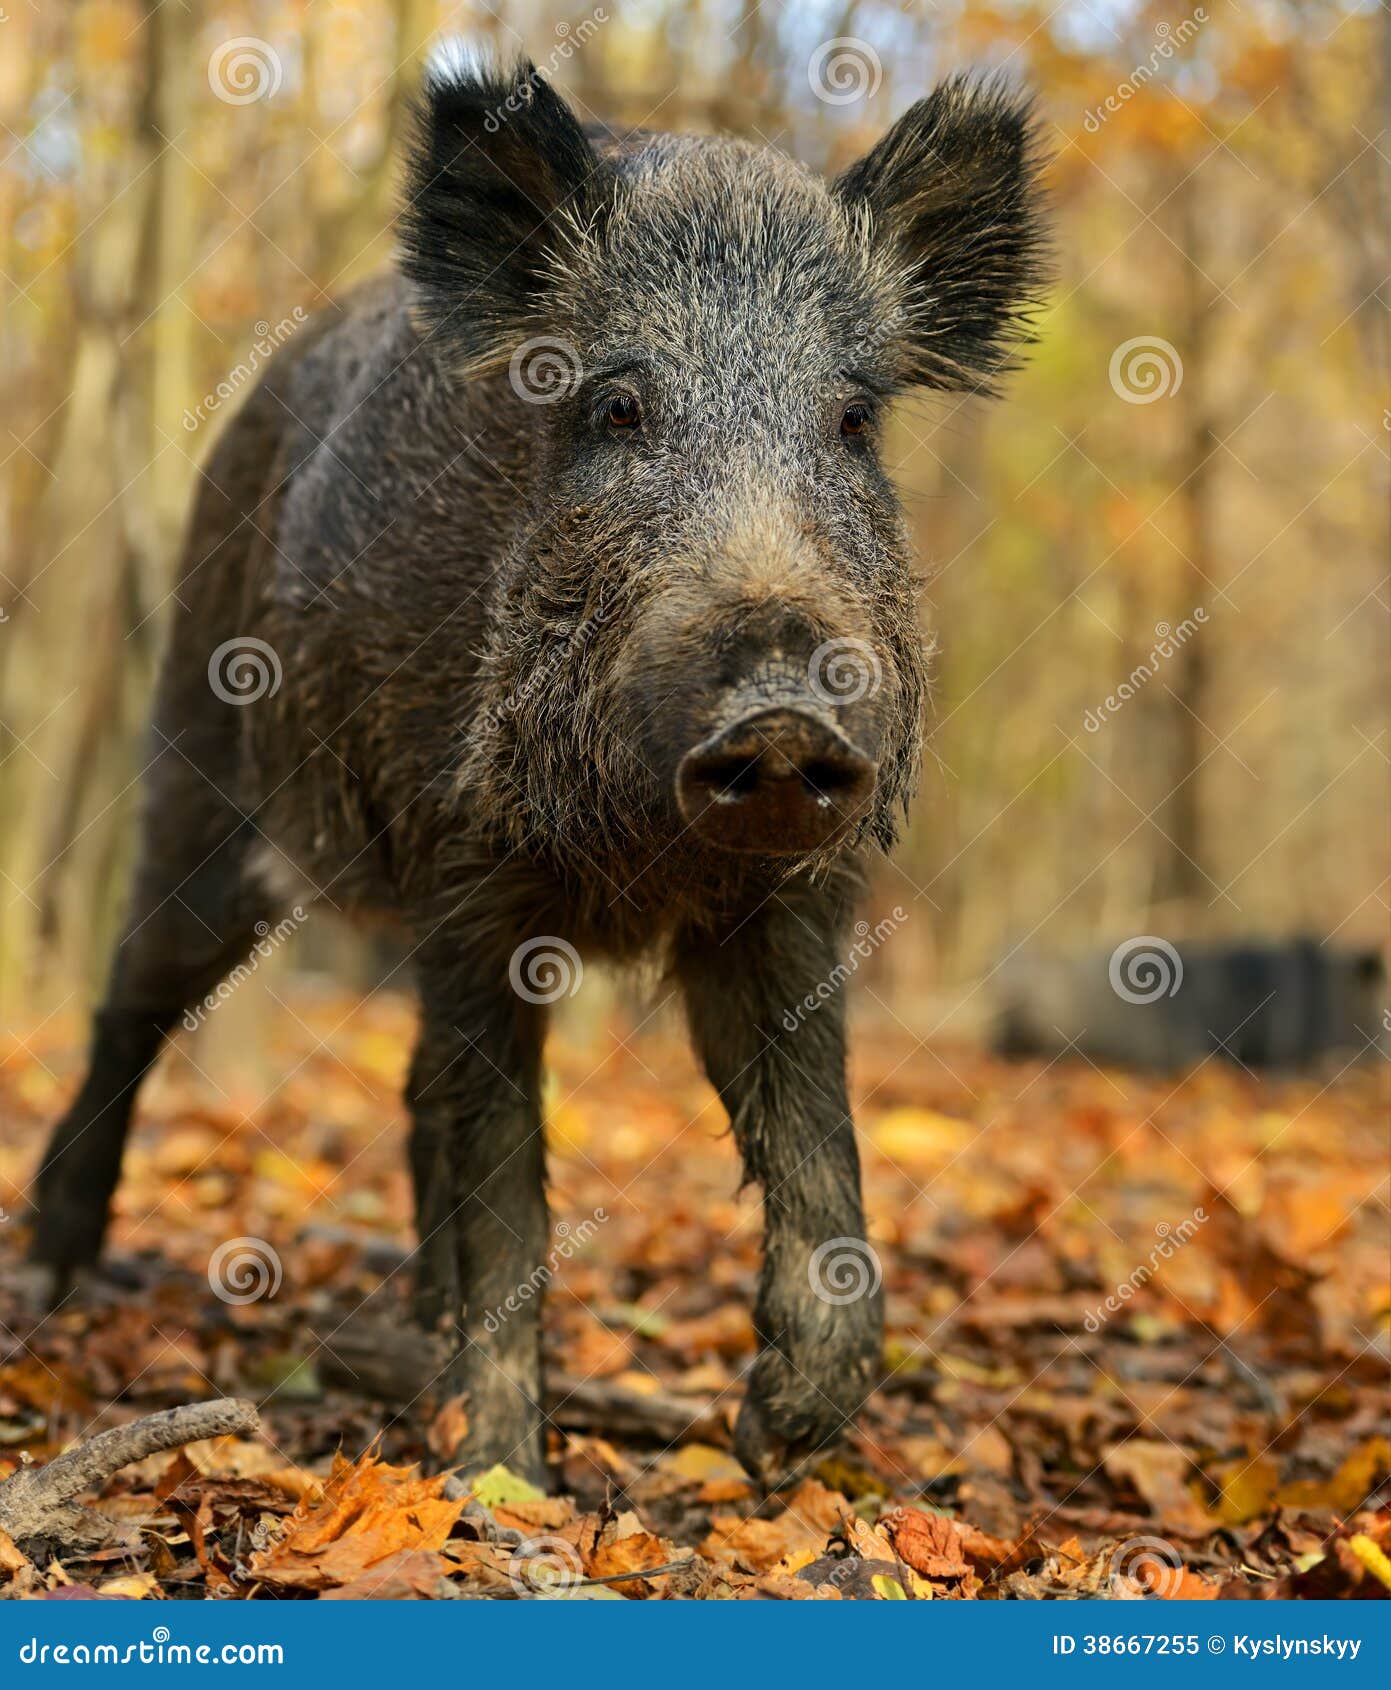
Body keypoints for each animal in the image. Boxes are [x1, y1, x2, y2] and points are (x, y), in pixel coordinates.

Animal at [32, 56, 1047, 1486]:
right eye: (616, 406)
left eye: (853, 419)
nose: (782, 715)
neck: (635, 859)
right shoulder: (472, 876)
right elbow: (509, 1188)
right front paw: (504, 1484)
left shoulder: (784, 903)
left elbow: (816, 1142)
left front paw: (776, 1440)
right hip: (197, 784)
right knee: (133, 1007)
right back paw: (54, 1277)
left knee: (411, 1085)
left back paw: (413, 1324)